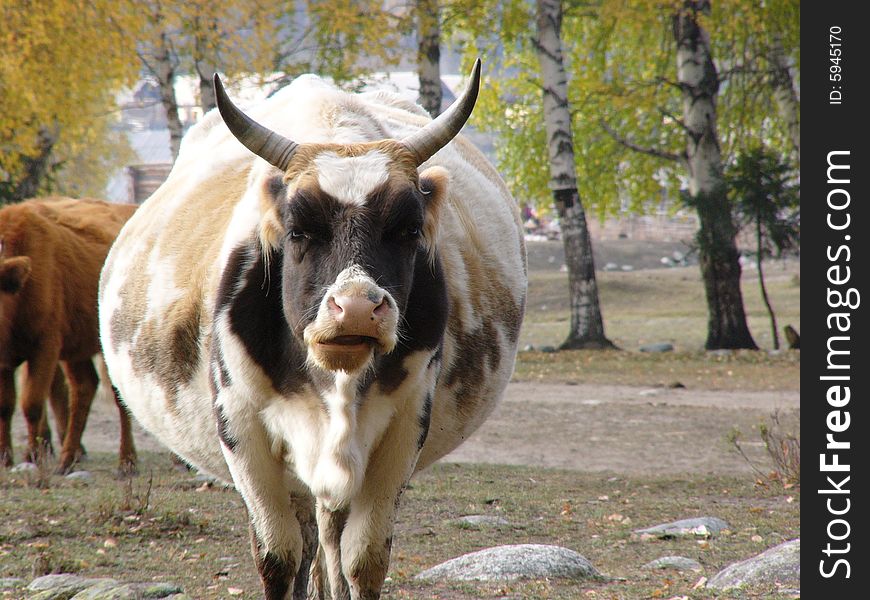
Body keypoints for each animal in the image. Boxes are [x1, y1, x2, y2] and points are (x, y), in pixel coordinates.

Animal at [0, 197, 138, 475]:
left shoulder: (45, 347)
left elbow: (31, 403)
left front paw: (34, 457)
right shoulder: (5, 360)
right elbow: (5, 406)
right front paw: (5, 458)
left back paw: (127, 461)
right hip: (78, 347)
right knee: (84, 388)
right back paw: (68, 458)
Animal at [99, 59, 526, 599]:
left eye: (408, 229)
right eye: (298, 229)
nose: (357, 308)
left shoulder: (404, 429)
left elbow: (363, 558)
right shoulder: (242, 431)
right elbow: (279, 556)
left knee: (330, 541)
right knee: (308, 540)